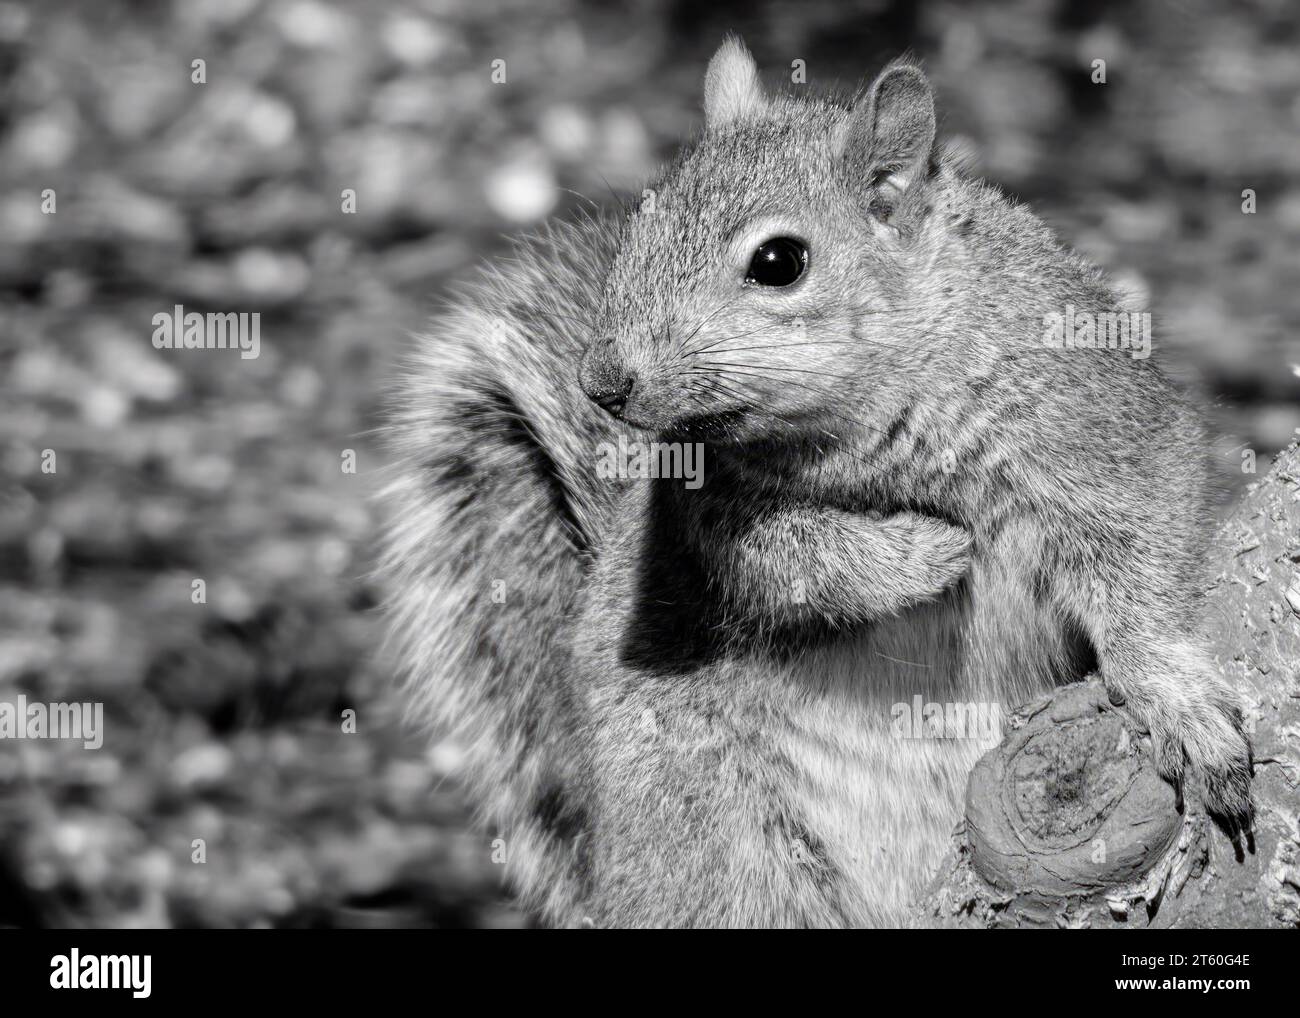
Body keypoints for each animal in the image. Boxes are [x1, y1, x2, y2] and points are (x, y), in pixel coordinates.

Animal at [379, 37, 1253, 927]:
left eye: (779, 262)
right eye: (642, 222)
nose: (604, 381)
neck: (880, 424)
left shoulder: (1099, 426)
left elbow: (1140, 545)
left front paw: (1171, 698)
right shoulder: (709, 510)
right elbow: (789, 566)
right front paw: (925, 550)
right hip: (713, 831)